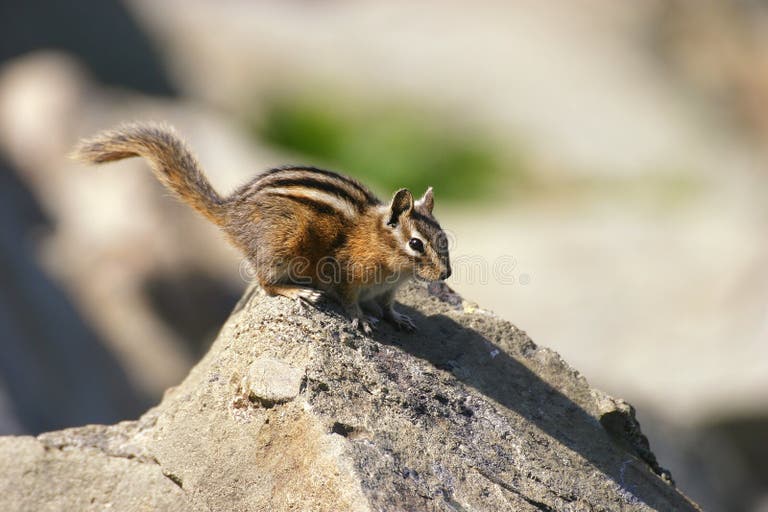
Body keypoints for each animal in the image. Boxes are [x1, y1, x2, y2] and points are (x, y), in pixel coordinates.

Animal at [71, 122, 451, 334]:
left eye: (444, 239)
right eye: (416, 244)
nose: (446, 275)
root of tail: (231, 213)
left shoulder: (387, 290)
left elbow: (387, 306)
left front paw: (398, 318)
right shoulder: (345, 272)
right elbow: (349, 301)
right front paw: (359, 318)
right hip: (283, 242)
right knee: (265, 283)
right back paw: (298, 292)